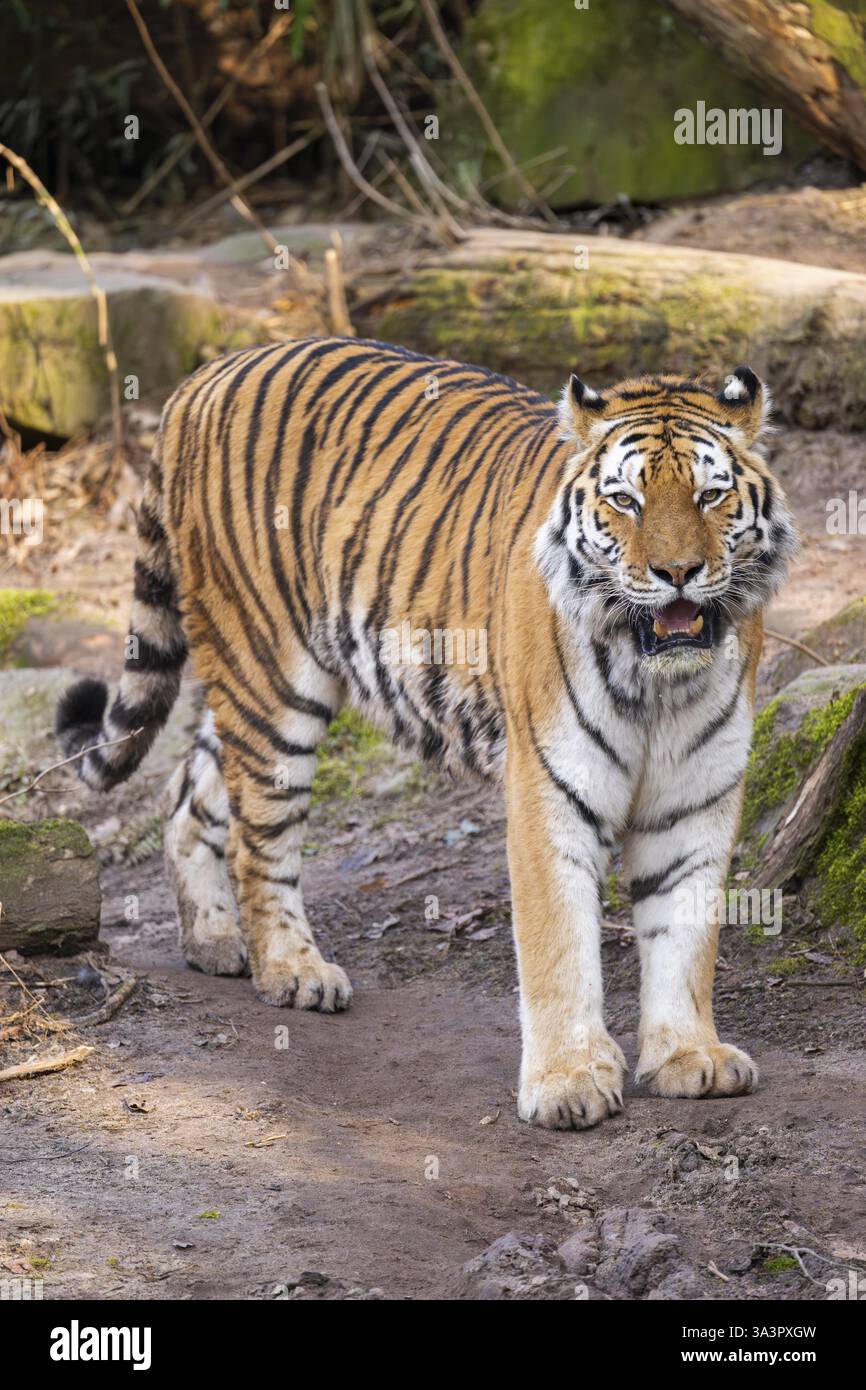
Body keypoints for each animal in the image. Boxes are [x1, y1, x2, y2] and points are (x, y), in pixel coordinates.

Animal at [56, 336, 796, 1130]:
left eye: (710, 495)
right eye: (624, 500)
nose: (677, 572)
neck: (660, 683)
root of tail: (204, 376)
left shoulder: (697, 796)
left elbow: (685, 936)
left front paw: (690, 1056)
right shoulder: (549, 791)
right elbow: (559, 945)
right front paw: (567, 1082)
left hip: (249, 694)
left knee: (186, 793)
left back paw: (215, 940)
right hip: (272, 677)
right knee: (261, 840)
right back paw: (291, 970)